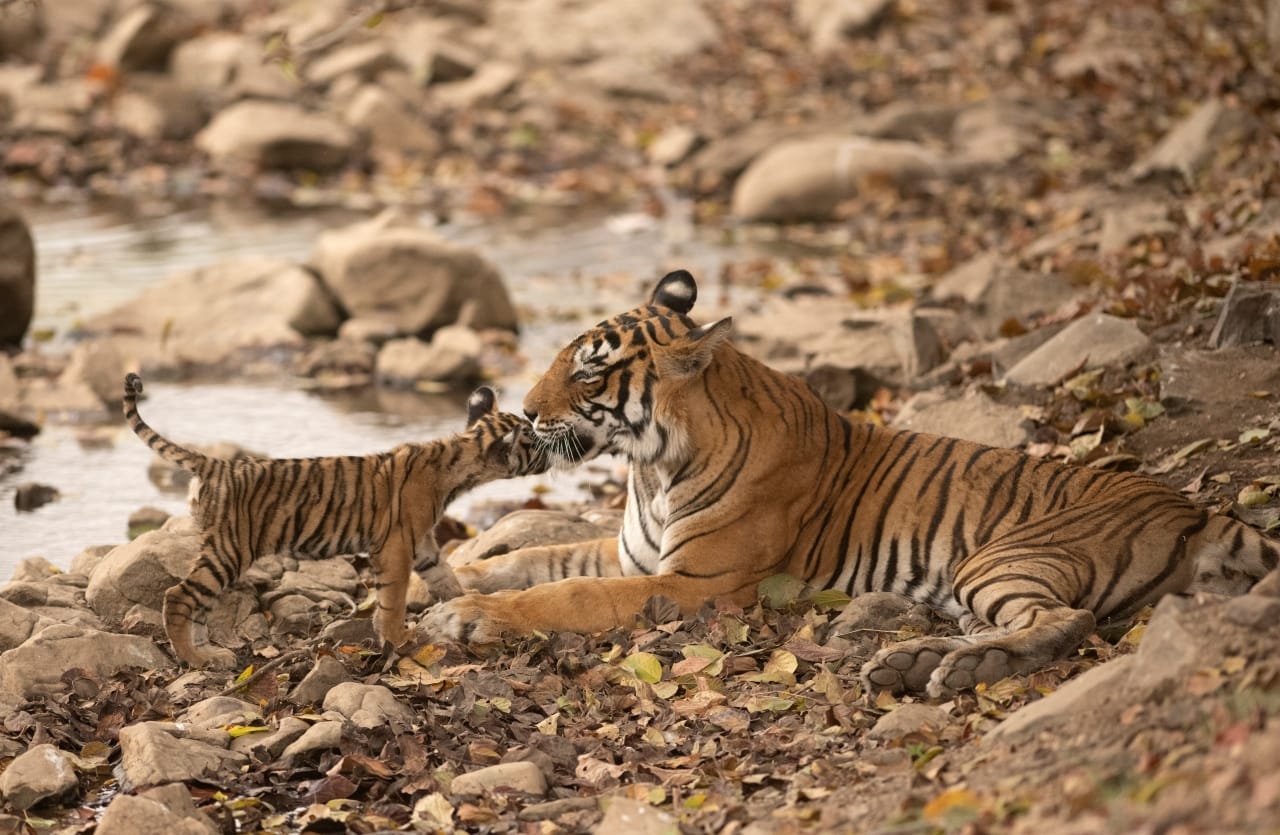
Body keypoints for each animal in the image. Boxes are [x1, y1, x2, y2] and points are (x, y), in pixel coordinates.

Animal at [122, 373, 548, 669]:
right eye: (533, 443)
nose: (553, 450)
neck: (458, 459)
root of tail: (215, 463)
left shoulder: (423, 542)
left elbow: (445, 578)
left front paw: (463, 606)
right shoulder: (395, 545)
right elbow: (392, 600)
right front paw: (397, 638)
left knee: (199, 606)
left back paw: (210, 654)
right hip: (230, 549)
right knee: (178, 596)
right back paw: (193, 658)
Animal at [422, 269, 1280, 697]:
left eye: (591, 368)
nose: (527, 411)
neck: (652, 467)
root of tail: (1190, 503)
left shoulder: (697, 583)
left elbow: (566, 593)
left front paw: (466, 617)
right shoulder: (634, 552)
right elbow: (533, 559)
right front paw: (451, 578)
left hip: (1005, 557)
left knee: (1065, 621)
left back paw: (950, 671)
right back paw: (914, 662)